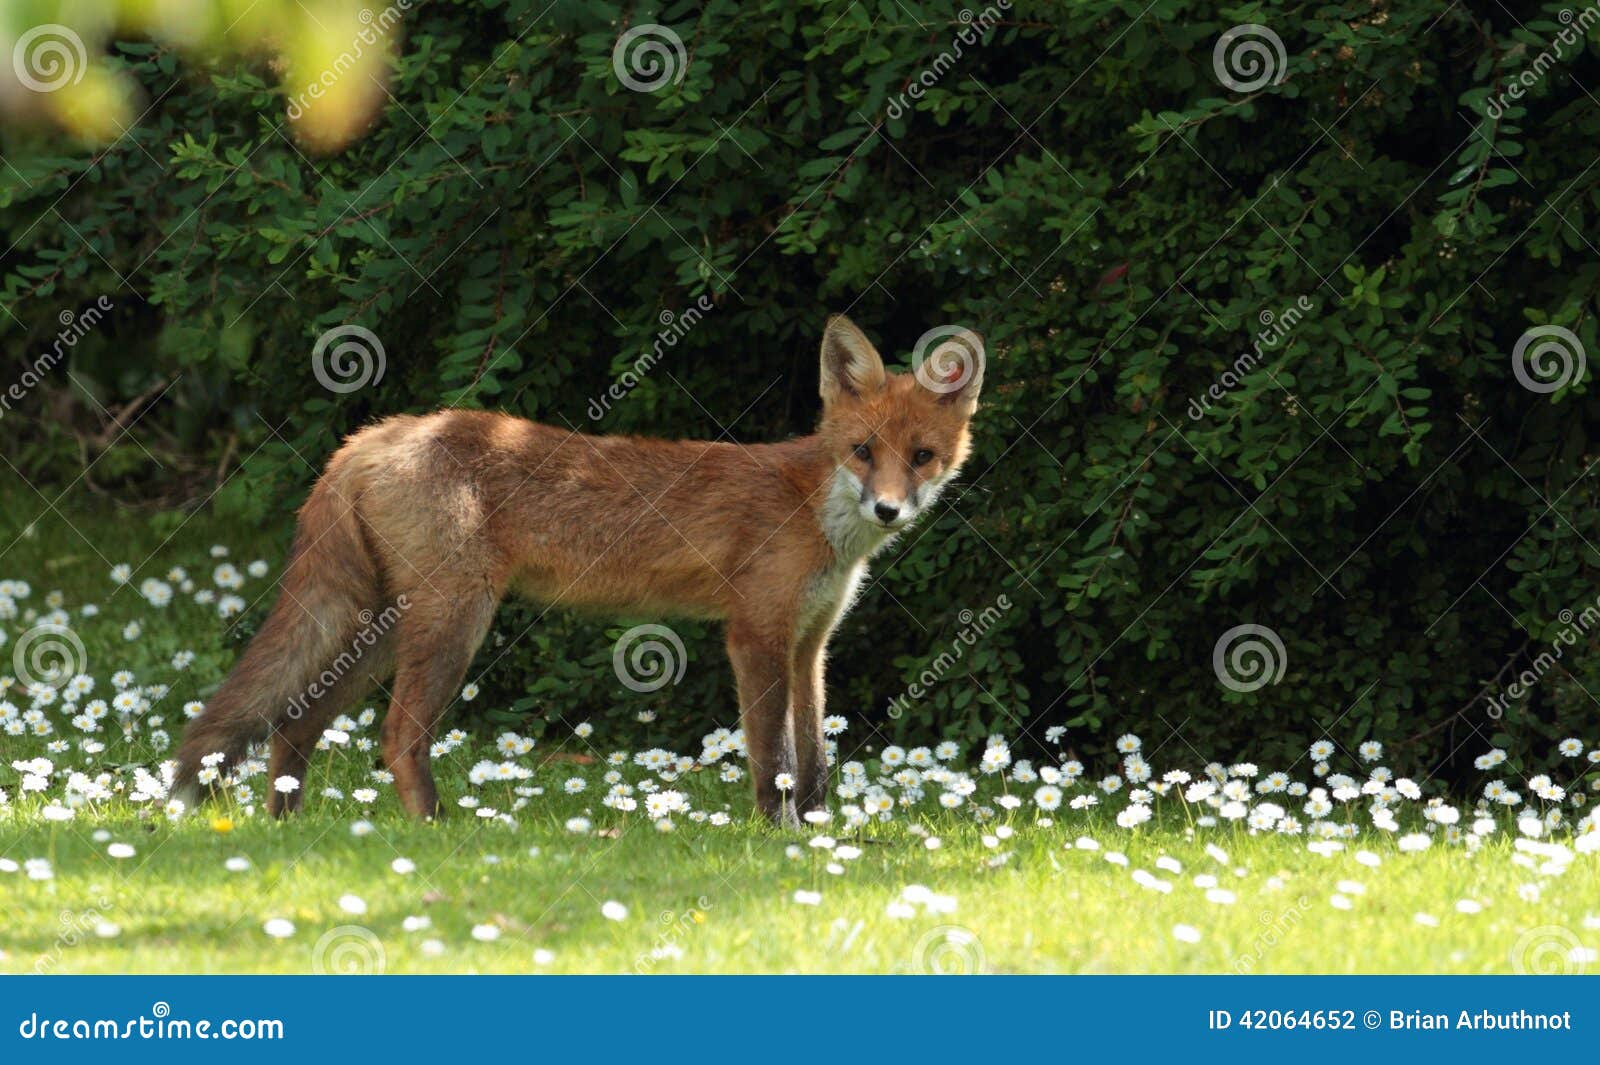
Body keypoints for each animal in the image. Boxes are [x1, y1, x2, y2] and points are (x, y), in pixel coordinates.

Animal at [171, 314, 983, 824]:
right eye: (861, 451)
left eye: (921, 456)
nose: (889, 510)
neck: (815, 510)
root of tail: (372, 434)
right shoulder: (755, 635)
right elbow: (772, 758)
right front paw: (776, 836)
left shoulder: (810, 642)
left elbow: (813, 758)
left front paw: (819, 838)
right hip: (451, 622)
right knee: (396, 736)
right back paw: (439, 831)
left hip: (380, 631)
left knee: (293, 724)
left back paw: (290, 829)